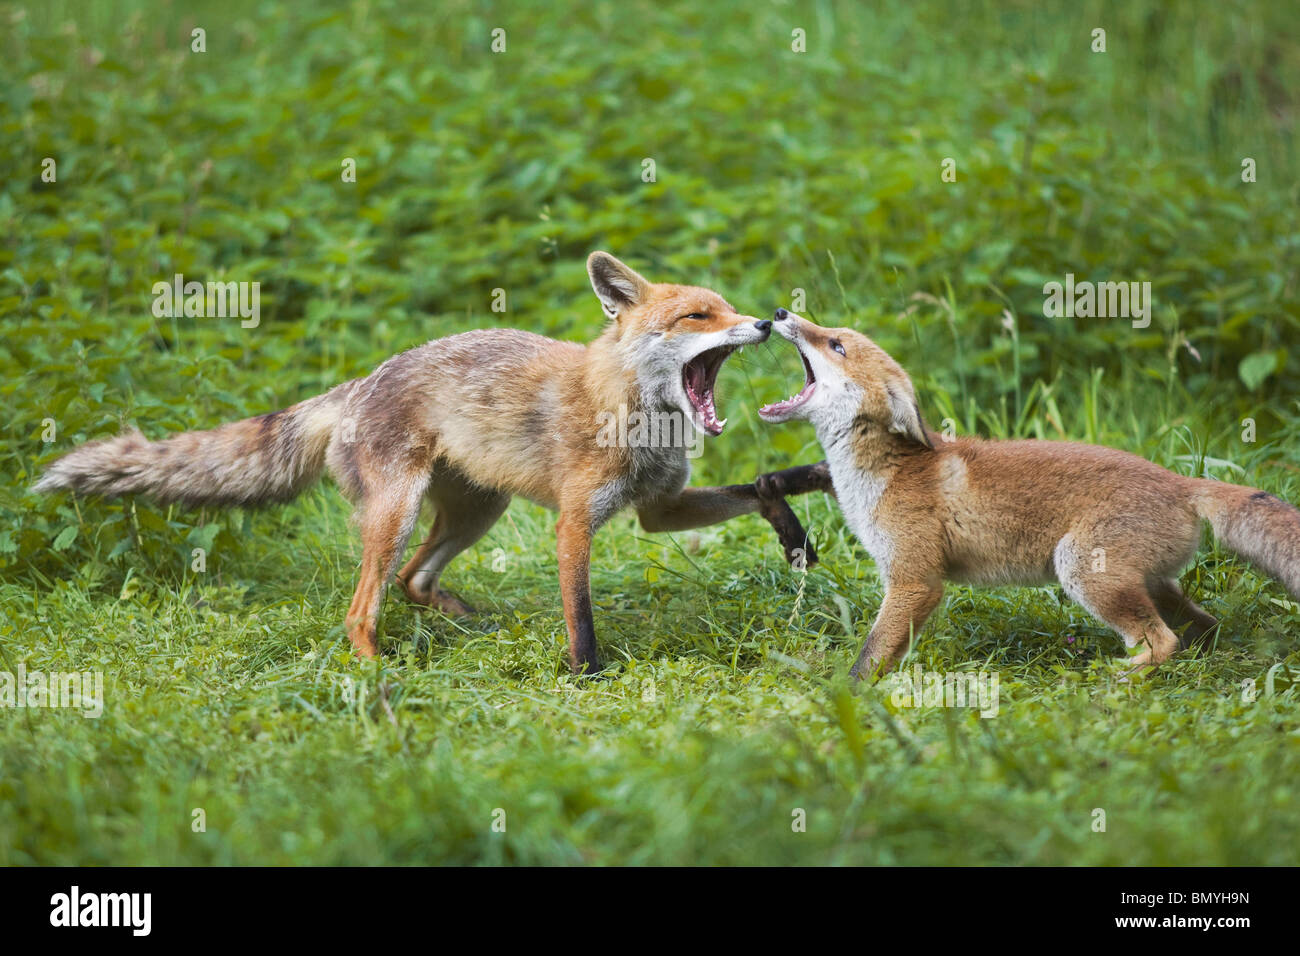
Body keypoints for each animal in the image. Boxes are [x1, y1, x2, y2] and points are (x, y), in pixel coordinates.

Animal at [33, 253, 816, 674]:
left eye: (729, 309)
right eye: (697, 318)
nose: (765, 321)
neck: (632, 415)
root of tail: (357, 382)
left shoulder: (660, 508)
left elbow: (757, 487)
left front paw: (796, 513)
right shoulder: (574, 524)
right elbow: (582, 618)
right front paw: (588, 679)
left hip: (477, 512)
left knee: (414, 581)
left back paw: (468, 624)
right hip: (398, 513)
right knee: (360, 610)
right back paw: (380, 680)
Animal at [753, 308, 1300, 679]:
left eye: (836, 345)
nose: (779, 313)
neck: (880, 474)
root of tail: (1183, 482)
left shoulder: (914, 580)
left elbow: (868, 658)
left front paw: (845, 699)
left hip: (1081, 567)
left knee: (1163, 641)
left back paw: (1114, 680)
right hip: (1148, 581)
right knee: (1202, 627)